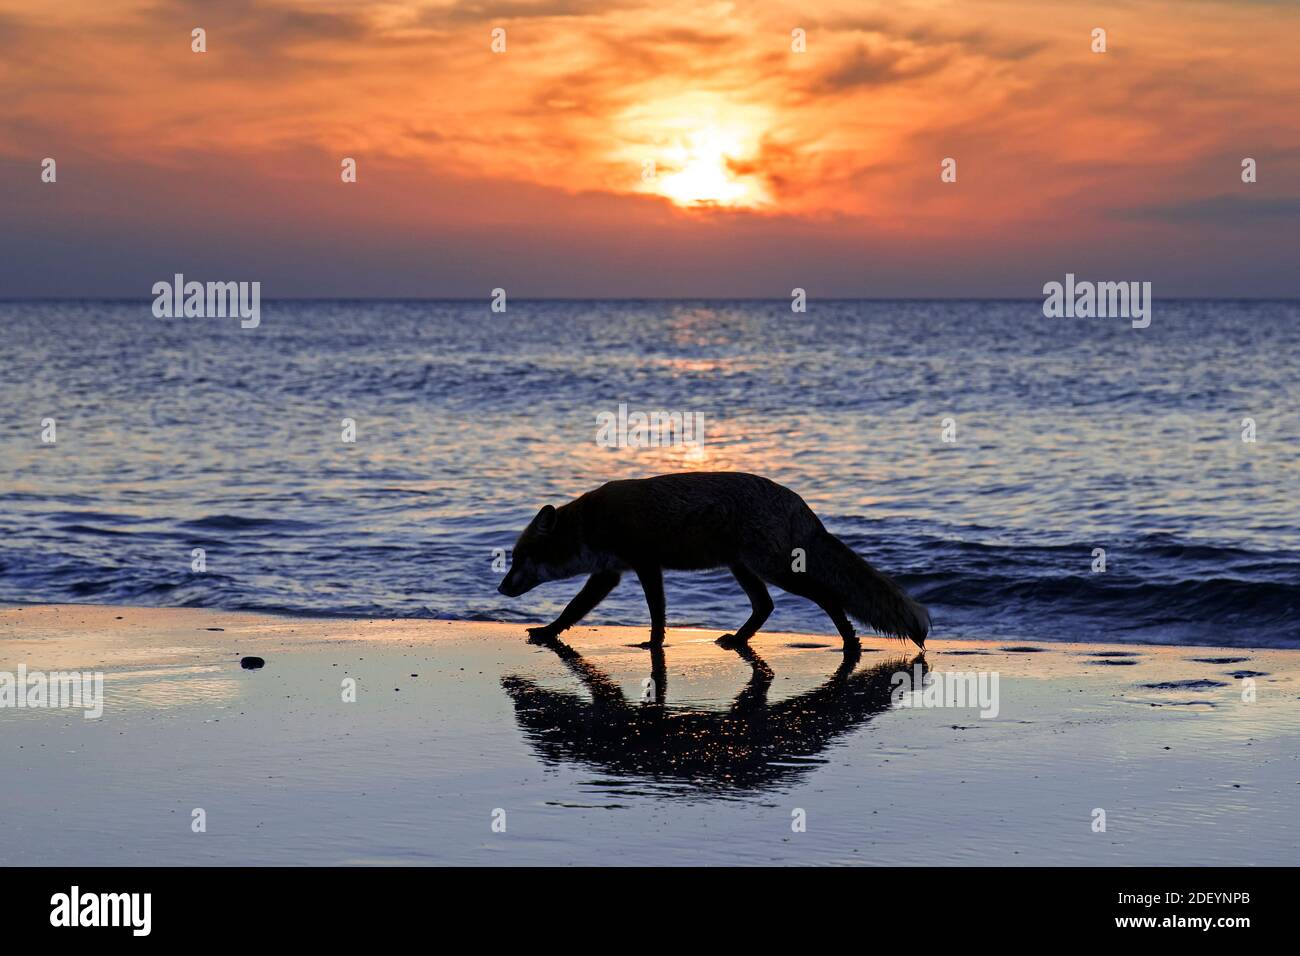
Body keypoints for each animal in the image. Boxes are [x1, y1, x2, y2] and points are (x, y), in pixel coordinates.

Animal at [497, 472, 929, 649]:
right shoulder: (612, 573)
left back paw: (849, 640)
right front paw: (551, 631)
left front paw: (654, 643)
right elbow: (574, 610)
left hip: (775, 570)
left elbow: (652, 613)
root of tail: (799, 503)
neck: (590, 524)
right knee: (765, 606)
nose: (500, 588)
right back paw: (738, 639)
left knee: (828, 598)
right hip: (743, 568)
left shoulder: (642, 566)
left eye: (517, 559)